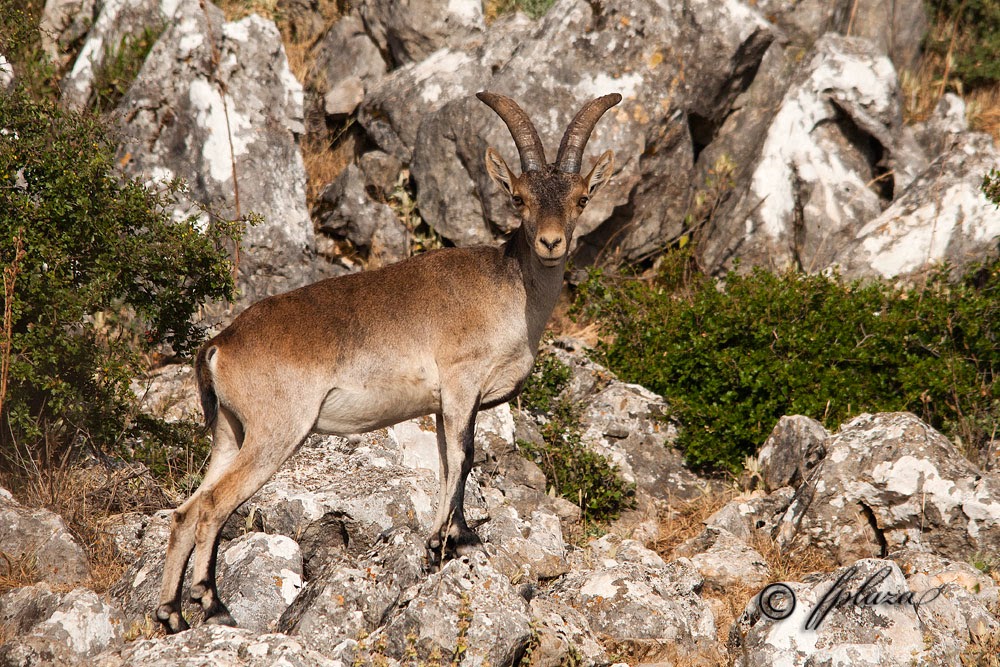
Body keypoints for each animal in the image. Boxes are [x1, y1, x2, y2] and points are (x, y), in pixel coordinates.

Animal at [156, 91, 621, 633]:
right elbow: (463, 457)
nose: (550, 242)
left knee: (185, 511)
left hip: (229, 433)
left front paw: (442, 543)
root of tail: (221, 344)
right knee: (212, 506)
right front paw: (456, 541)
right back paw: (214, 605)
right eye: (519, 198)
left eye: (581, 198)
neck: (509, 291)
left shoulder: (442, 406)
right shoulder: (462, 385)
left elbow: (445, 463)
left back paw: (171, 614)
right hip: (276, 430)